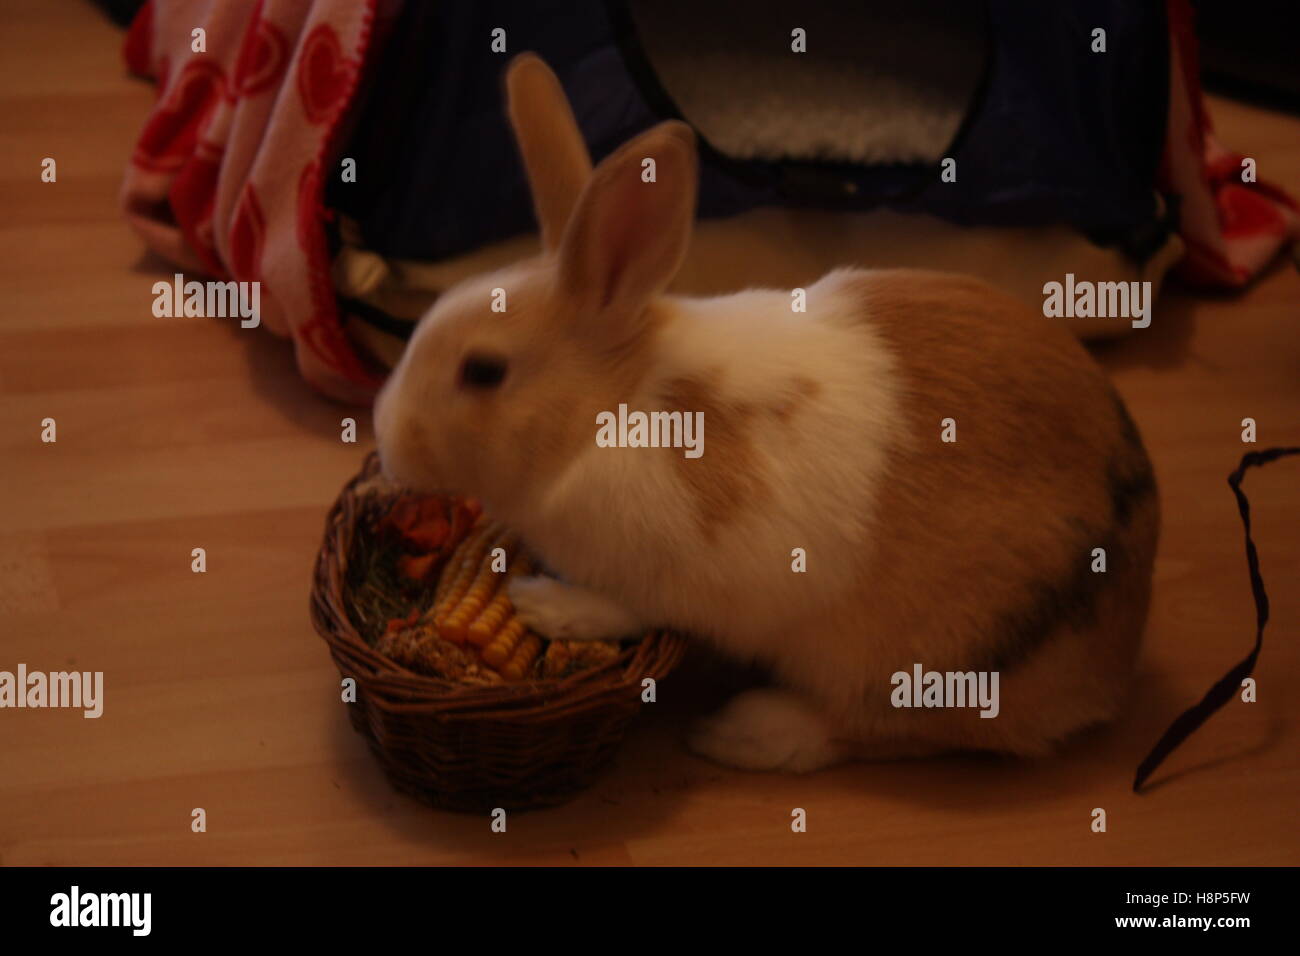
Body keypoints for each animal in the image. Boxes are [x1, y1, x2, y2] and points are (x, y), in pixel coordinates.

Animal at [373, 53, 1160, 773]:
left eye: (483, 372)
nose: (387, 439)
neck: (612, 408)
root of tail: (1119, 661)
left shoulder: (700, 574)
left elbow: (639, 607)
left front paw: (545, 604)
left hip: (929, 660)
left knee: (884, 730)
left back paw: (745, 732)